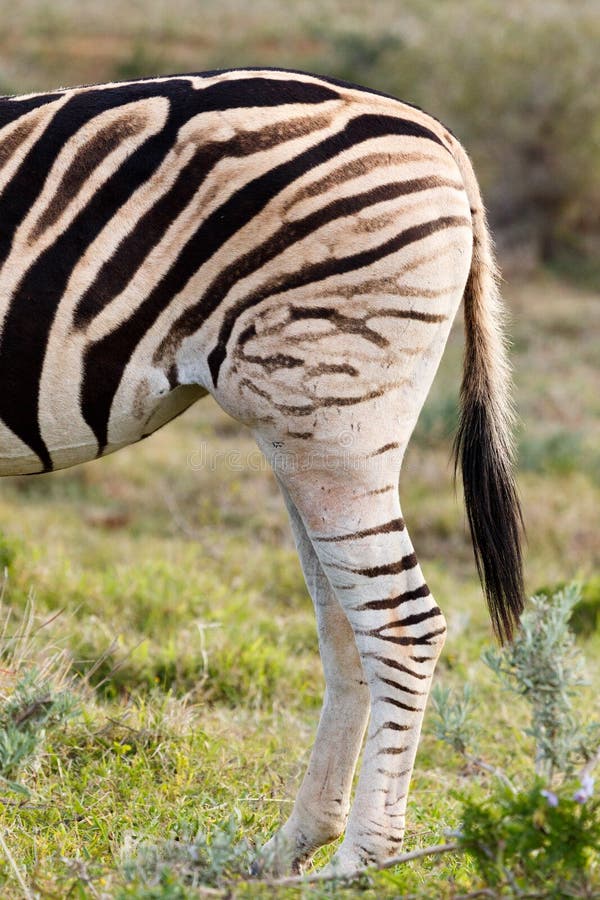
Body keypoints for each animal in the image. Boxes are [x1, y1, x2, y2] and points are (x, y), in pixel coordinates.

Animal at [0, 68, 524, 876]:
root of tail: (434, 133)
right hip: (309, 430)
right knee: (347, 626)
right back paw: (292, 847)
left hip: (334, 422)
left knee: (400, 625)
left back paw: (359, 864)